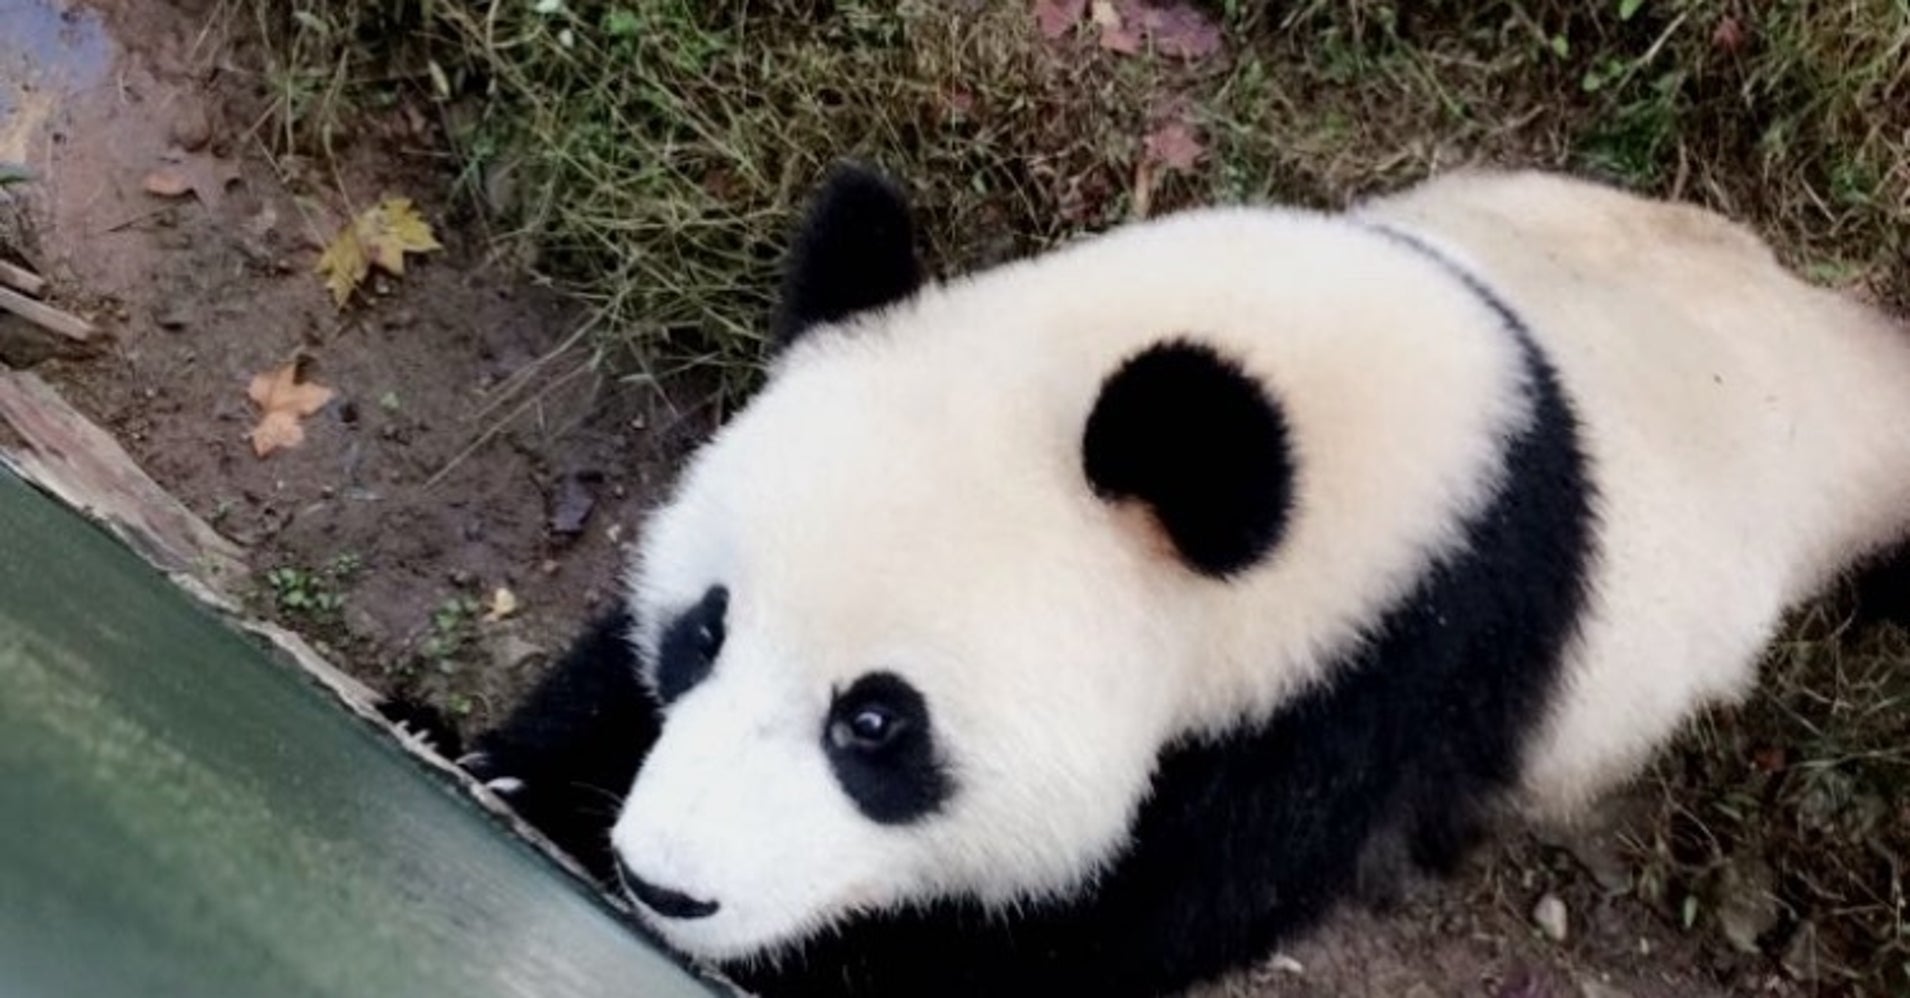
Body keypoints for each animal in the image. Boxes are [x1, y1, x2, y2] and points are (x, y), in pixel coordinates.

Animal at [461, 164, 1910, 997]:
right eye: (702, 630)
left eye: (875, 722)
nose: (663, 880)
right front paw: (512, 767)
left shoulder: (1379, 668)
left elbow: (1122, 916)